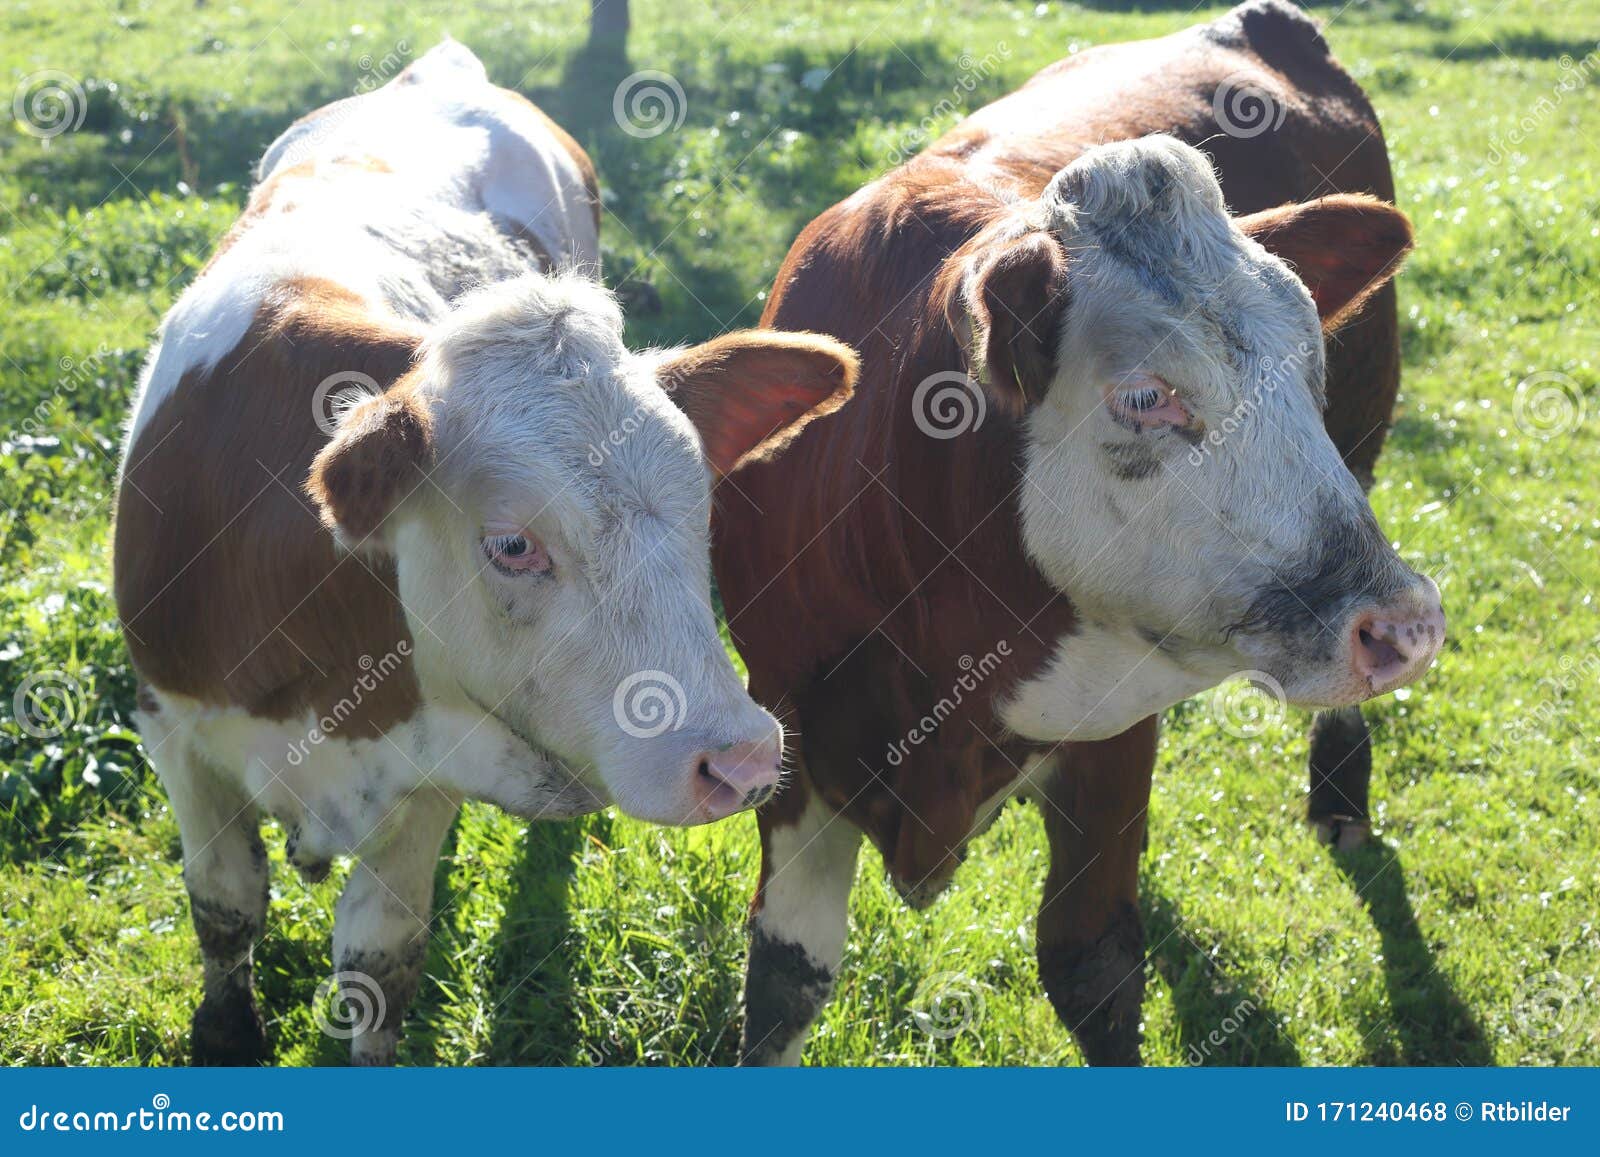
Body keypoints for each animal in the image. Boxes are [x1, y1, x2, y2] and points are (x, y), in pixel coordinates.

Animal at [112, 40, 858, 1066]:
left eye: (701, 508)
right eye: (511, 544)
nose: (741, 760)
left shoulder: (427, 768)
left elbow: (377, 960)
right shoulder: (174, 732)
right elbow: (224, 904)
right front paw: (226, 1029)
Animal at [713, 0, 1443, 1066]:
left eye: (1310, 357)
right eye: (1144, 396)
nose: (1404, 625)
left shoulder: (1115, 736)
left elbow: (1093, 966)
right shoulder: (791, 729)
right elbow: (783, 979)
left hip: (1367, 440)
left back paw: (1340, 796)